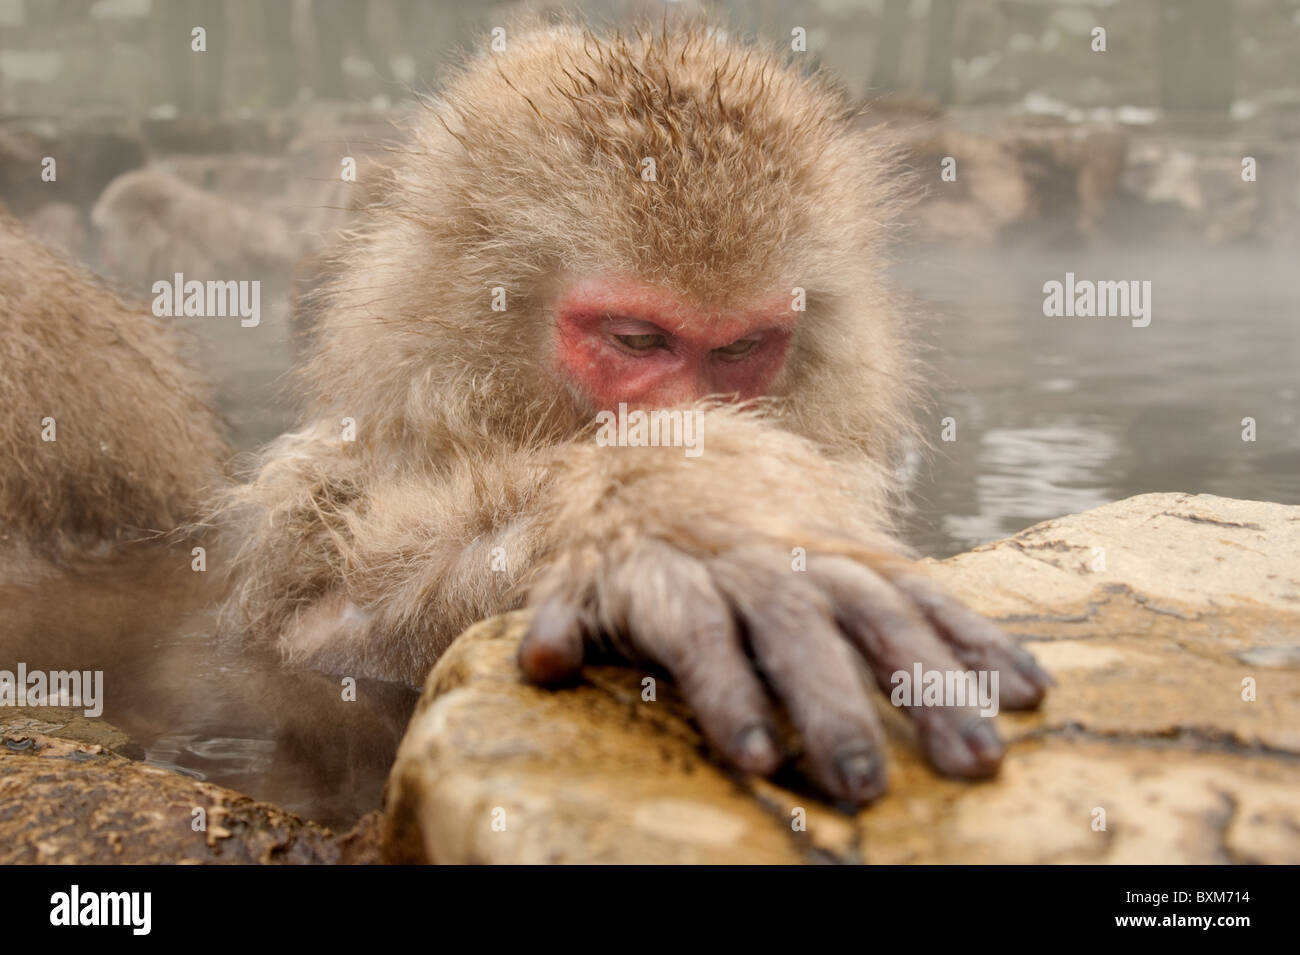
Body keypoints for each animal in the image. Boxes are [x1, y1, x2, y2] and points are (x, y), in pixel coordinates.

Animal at [219, 19, 1052, 806]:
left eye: (740, 346)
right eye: (637, 339)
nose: (689, 417)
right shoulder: (325, 483)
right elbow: (314, 632)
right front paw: (683, 515)